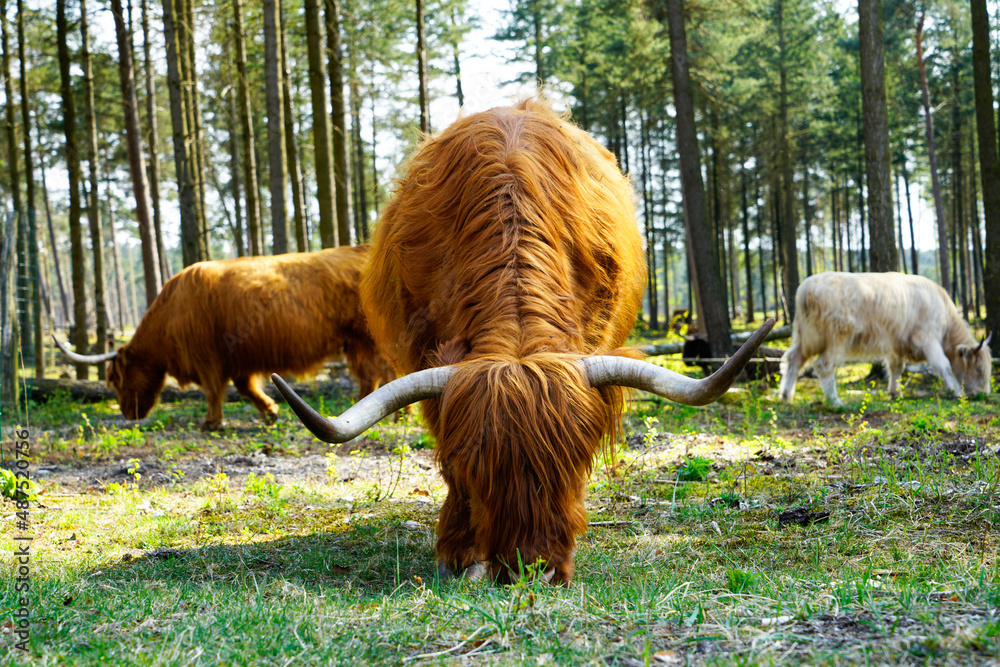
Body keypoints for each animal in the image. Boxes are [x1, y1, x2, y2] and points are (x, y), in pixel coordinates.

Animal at [54, 246, 395, 429]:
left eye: (116, 379)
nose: (127, 414)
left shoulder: (207, 356)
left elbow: (213, 390)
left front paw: (211, 422)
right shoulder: (238, 358)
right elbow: (245, 388)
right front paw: (271, 412)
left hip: (364, 338)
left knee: (373, 375)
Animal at [778, 271, 992, 406]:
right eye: (979, 369)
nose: (984, 394)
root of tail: (805, 287)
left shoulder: (897, 344)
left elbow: (896, 368)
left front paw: (894, 393)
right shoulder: (927, 338)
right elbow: (944, 365)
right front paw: (956, 391)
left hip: (806, 337)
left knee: (793, 360)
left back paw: (786, 396)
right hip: (837, 336)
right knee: (824, 365)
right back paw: (835, 401)